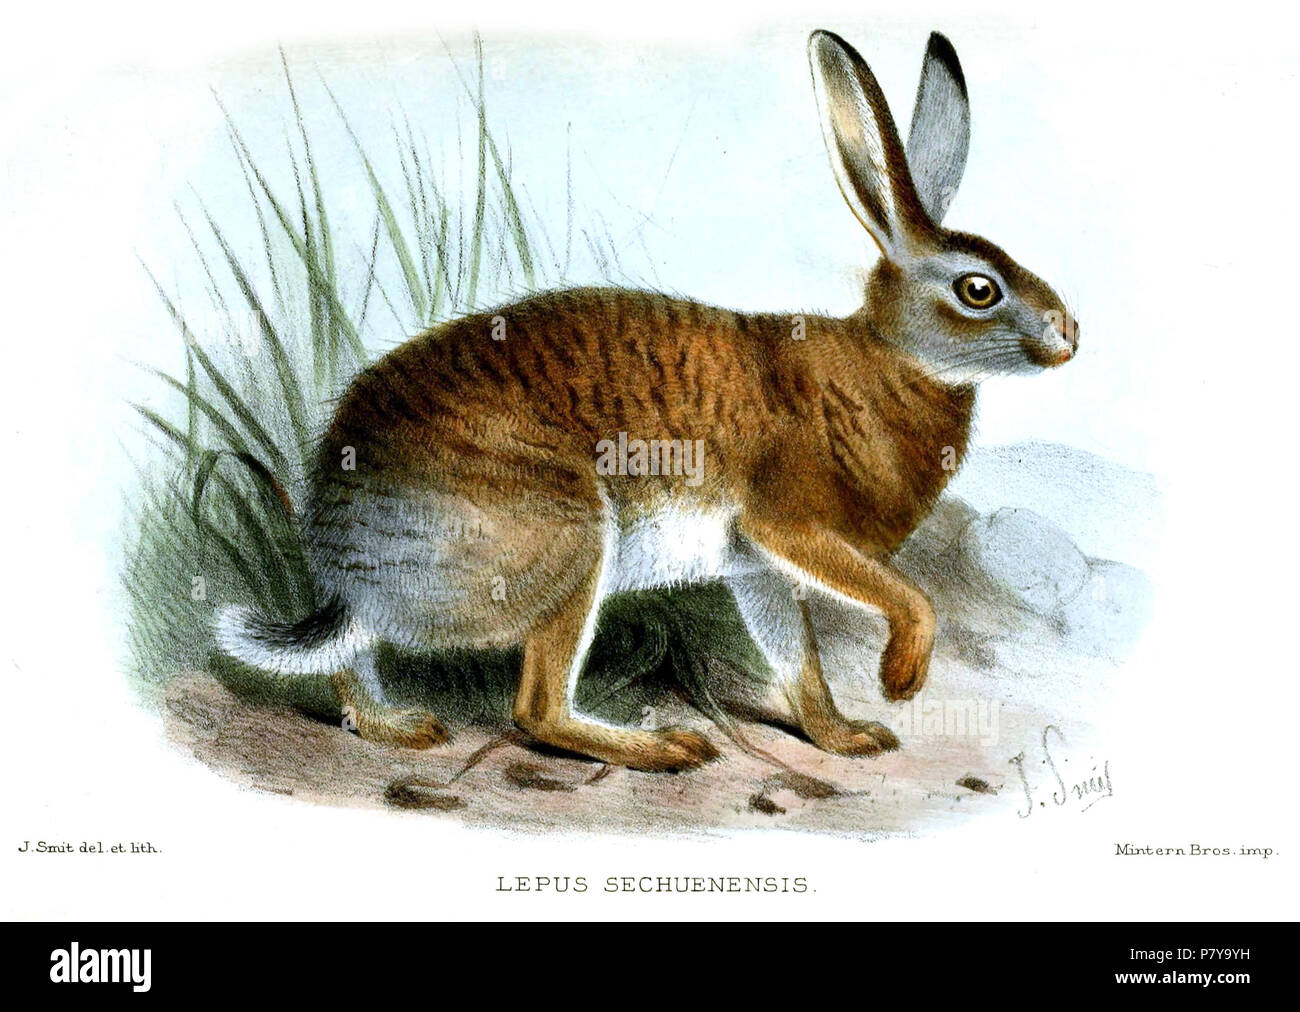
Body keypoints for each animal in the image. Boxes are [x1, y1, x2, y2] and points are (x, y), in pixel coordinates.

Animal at [217, 30, 1078, 771]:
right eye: (978, 290)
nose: (1071, 334)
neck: (890, 358)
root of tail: (342, 551)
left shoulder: (758, 566)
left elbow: (795, 655)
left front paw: (846, 735)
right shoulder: (788, 525)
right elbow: (908, 598)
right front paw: (901, 680)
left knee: (356, 660)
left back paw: (396, 726)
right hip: (566, 542)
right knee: (534, 710)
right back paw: (662, 749)